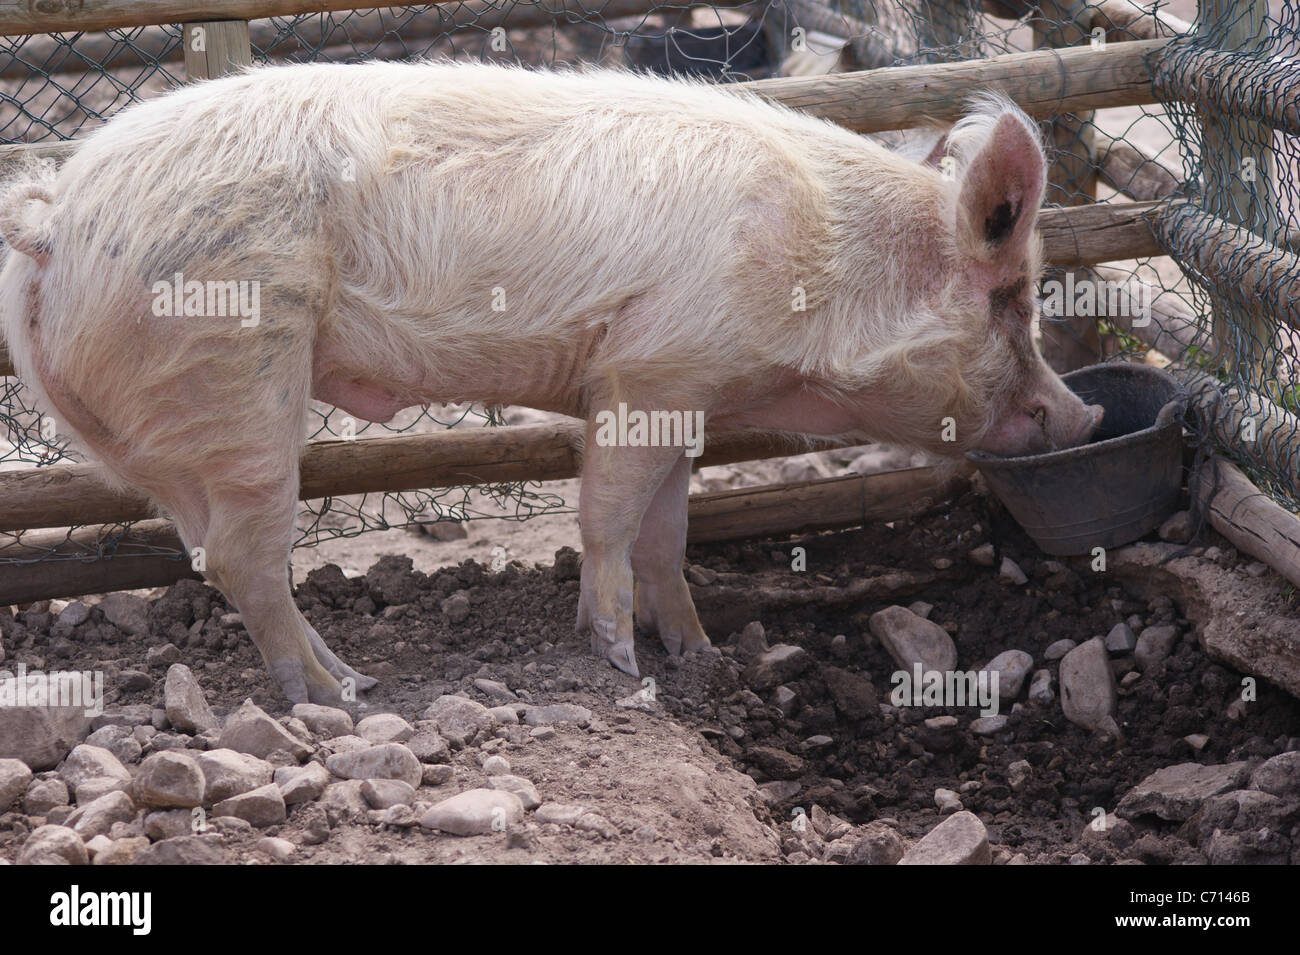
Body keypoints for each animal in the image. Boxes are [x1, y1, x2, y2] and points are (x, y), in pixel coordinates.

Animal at [0, 62, 1103, 703]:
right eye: (1012, 300)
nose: (1084, 410)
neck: (824, 268)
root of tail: (54, 216)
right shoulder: (648, 366)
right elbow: (608, 518)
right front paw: (615, 660)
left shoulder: (688, 390)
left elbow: (668, 534)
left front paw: (702, 656)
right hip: (238, 381)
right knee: (245, 556)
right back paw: (340, 693)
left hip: (169, 432)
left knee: (209, 555)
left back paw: (343, 675)